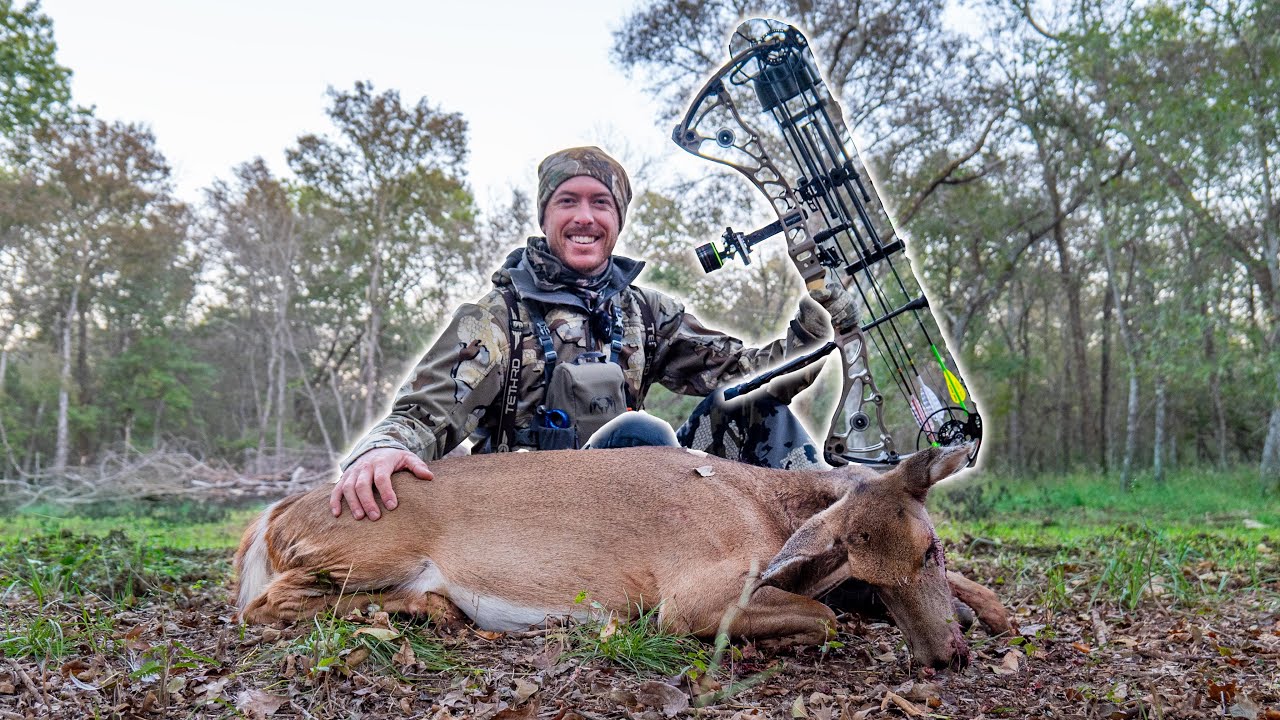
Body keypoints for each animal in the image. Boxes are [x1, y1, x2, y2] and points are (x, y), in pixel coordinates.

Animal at [234, 443, 983, 669]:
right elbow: (823, 620)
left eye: (932, 549)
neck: (763, 508)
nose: (947, 654)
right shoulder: (691, 590)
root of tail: (275, 513)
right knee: (266, 606)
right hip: (367, 549)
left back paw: (438, 611)